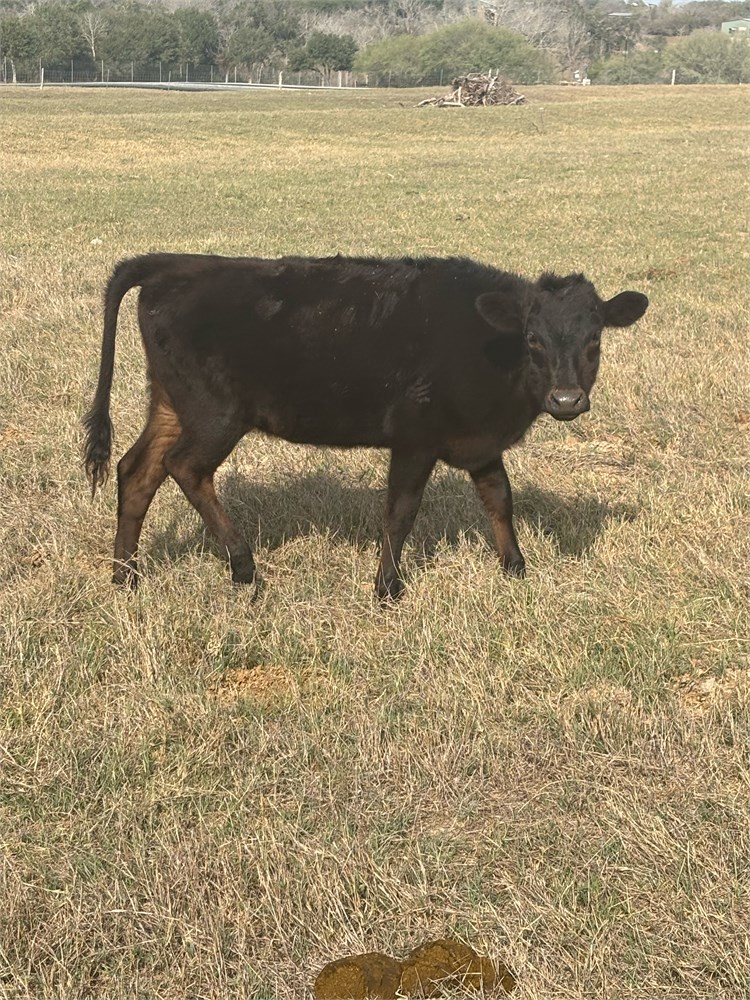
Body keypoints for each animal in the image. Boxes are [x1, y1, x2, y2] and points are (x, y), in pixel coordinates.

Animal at [83, 253, 648, 599]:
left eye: (595, 336)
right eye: (532, 338)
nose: (567, 399)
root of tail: (173, 264)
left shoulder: (481, 441)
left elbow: (499, 498)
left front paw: (515, 567)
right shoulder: (415, 438)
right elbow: (400, 512)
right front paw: (387, 587)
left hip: (171, 404)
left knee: (137, 471)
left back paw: (125, 576)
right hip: (214, 413)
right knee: (184, 468)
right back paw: (243, 566)